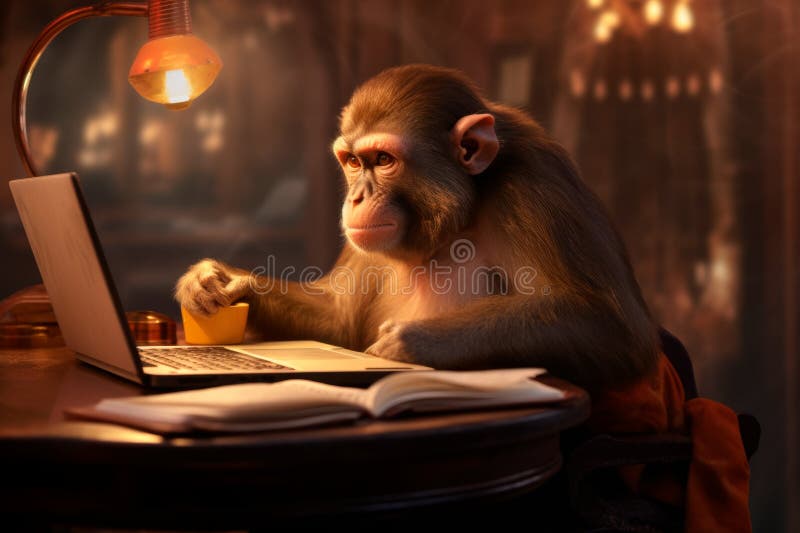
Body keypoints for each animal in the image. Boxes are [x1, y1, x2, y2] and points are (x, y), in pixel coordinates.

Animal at [175, 64, 659, 391]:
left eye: (383, 159)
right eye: (353, 162)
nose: (356, 197)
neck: (459, 210)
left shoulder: (537, 185)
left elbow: (609, 323)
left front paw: (412, 344)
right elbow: (339, 319)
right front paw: (218, 281)